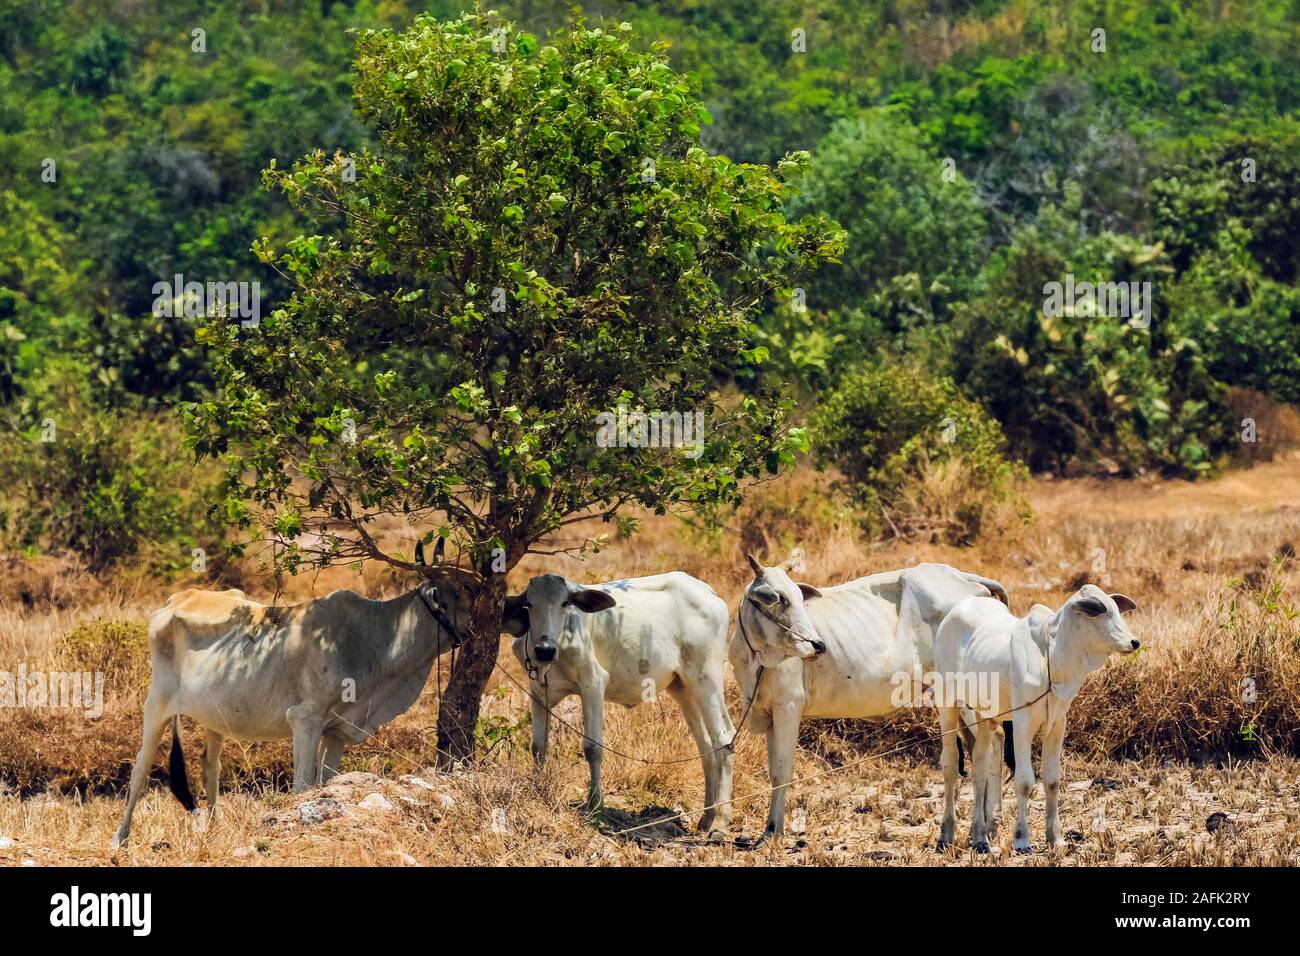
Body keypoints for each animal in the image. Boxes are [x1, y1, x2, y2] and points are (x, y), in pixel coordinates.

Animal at [112, 557, 474, 849]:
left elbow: (325, 782)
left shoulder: (337, 732)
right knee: (140, 770)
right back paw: (121, 838)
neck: (370, 638)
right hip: (156, 703)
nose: (474, 629)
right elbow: (302, 786)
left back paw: (213, 830)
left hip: (214, 716)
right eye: (462, 593)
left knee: (210, 768)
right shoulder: (305, 720)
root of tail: (180, 596)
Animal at [502, 571, 735, 837]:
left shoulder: (593, 683)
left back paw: (720, 821)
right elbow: (538, 747)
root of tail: (707, 591)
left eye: (565, 603)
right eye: (529, 604)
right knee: (706, 746)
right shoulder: (538, 693)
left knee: (724, 738)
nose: (544, 649)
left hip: (707, 677)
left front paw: (596, 805)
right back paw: (707, 816)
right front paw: (538, 787)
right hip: (683, 687)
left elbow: (592, 748)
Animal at [729, 552, 1010, 843]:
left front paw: (772, 831)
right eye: (779, 598)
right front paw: (774, 827)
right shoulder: (770, 715)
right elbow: (773, 772)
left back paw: (983, 827)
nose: (817, 645)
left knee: (991, 744)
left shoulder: (788, 707)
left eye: (796, 595)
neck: (756, 657)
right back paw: (988, 825)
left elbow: (782, 771)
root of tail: (966, 578)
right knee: (990, 741)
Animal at [934, 585, 1140, 853]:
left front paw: (1056, 837)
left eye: (1115, 610)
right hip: (947, 706)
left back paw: (979, 836)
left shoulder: (1057, 725)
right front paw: (1022, 838)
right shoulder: (1022, 724)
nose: (1134, 642)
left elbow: (1052, 780)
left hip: (984, 716)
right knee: (949, 766)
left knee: (980, 770)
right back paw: (946, 833)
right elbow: (1024, 781)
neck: (1050, 658)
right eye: (1099, 611)